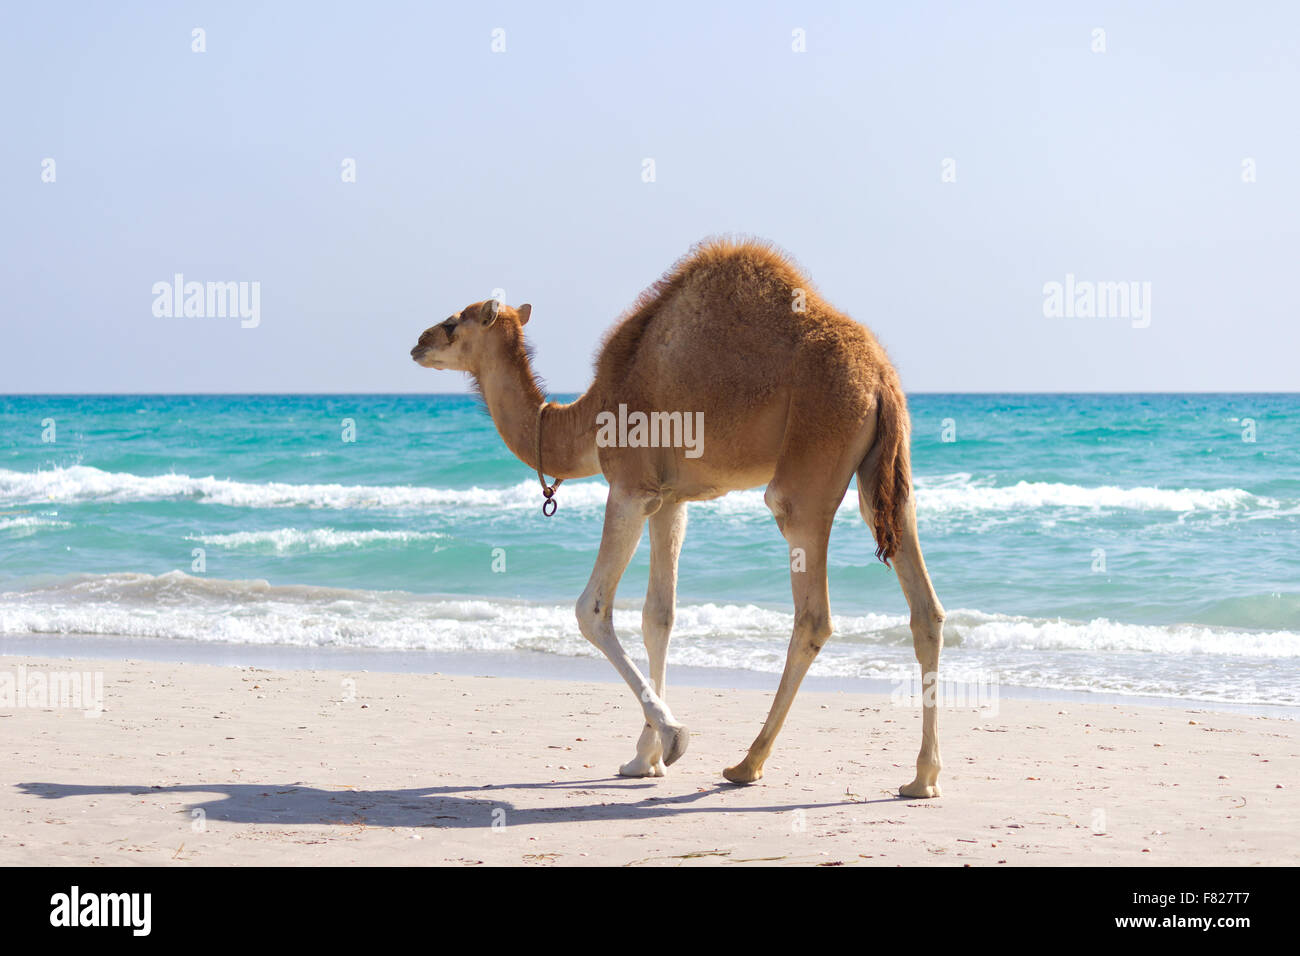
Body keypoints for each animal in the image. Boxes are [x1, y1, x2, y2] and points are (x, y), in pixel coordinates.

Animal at [410, 238, 946, 797]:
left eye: (453, 322)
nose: (418, 343)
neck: (588, 416)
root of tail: (881, 379)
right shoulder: (670, 500)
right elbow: (659, 616)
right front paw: (643, 758)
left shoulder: (629, 488)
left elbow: (591, 609)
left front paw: (672, 738)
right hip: (885, 481)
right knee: (925, 609)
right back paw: (922, 777)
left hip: (806, 476)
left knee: (813, 614)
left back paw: (747, 763)